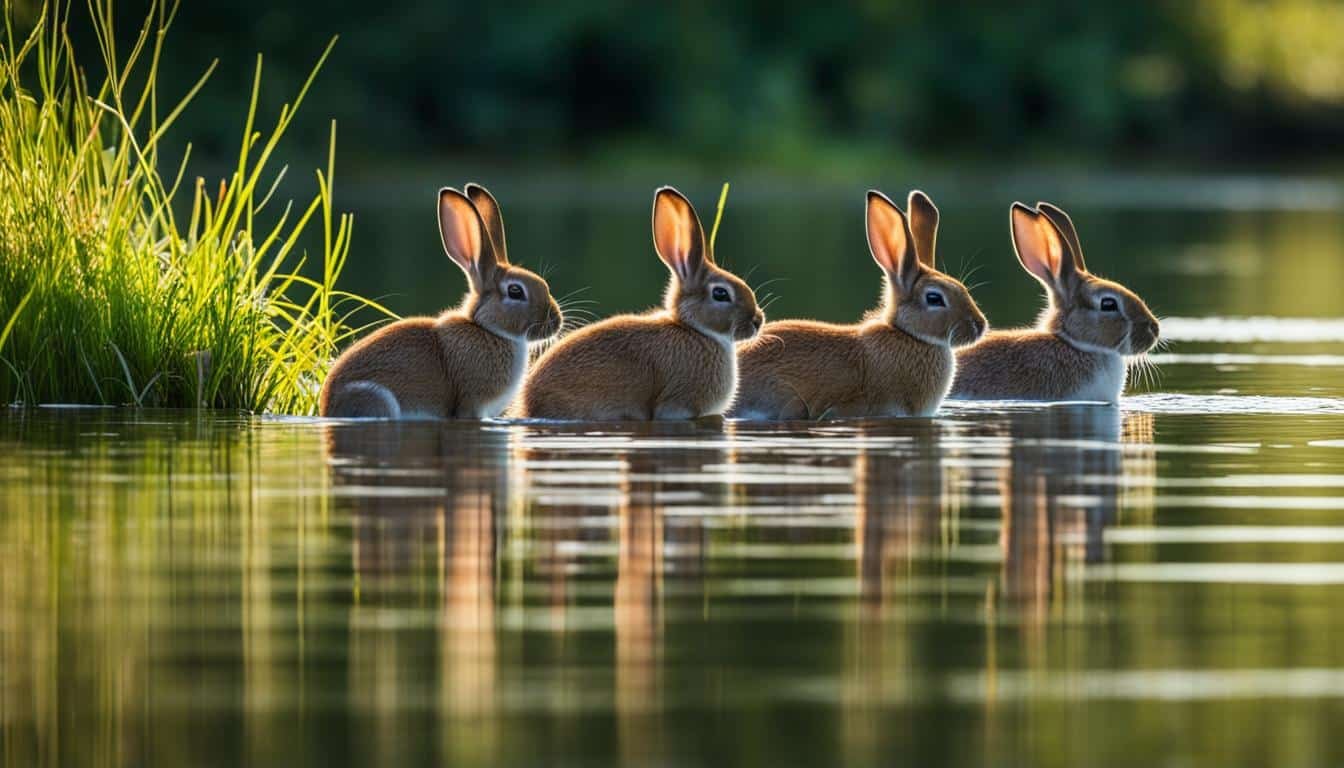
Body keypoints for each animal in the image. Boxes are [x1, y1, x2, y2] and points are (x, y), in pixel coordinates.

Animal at [320, 183, 562, 419]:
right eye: (515, 291)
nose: (556, 322)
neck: (487, 329)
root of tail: (327, 407)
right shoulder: (472, 404)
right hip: (375, 399)